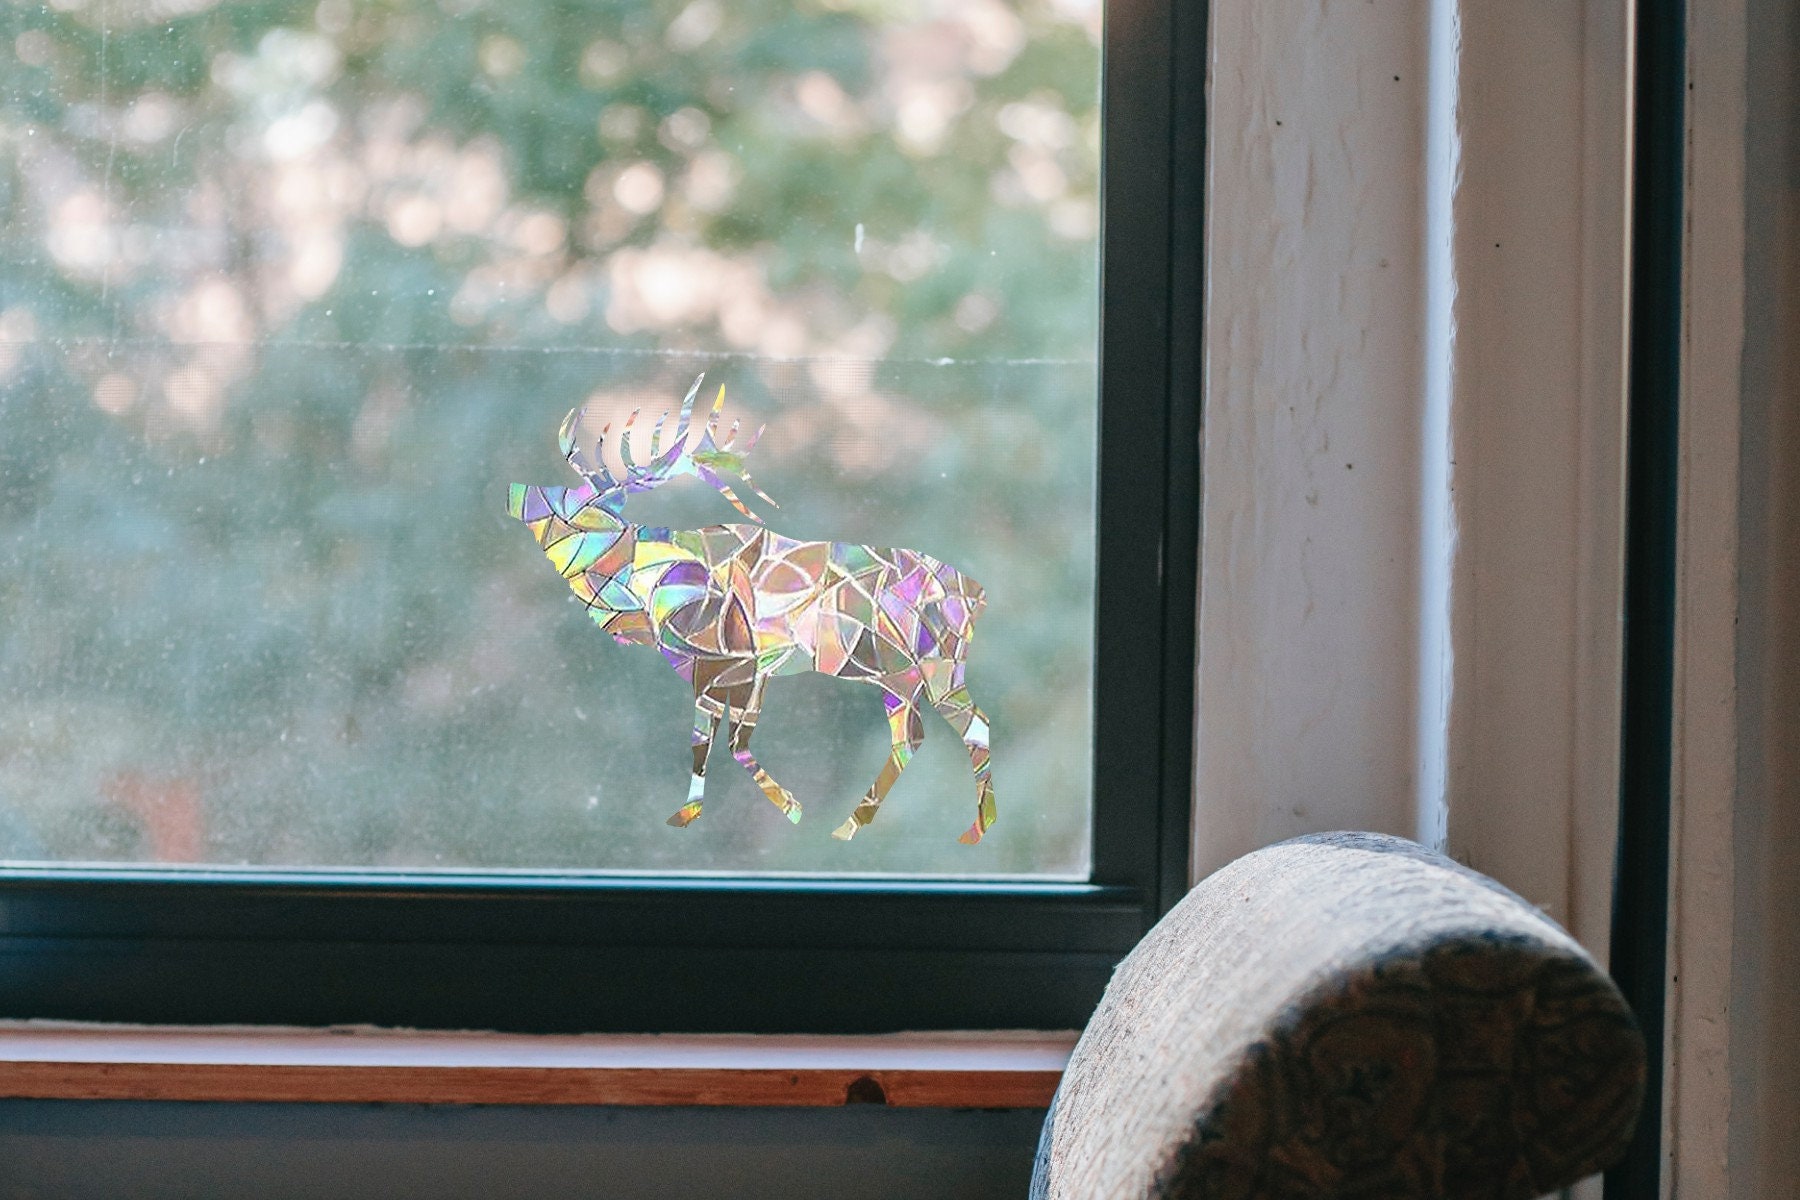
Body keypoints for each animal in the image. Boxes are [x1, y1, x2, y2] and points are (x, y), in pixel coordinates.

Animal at [506, 376, 997, 844]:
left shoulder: (748, 663)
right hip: (897, 676)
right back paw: (853, 823)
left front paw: (787, 808)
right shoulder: (708, 674)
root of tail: (978, 595)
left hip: (937, 666)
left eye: (578, 504)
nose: (516, 490)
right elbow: (710, 743)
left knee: (975, 725)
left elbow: (727, 743)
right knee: (912, 737)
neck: (645, 596)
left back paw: (974, 828)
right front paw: (697, 813)